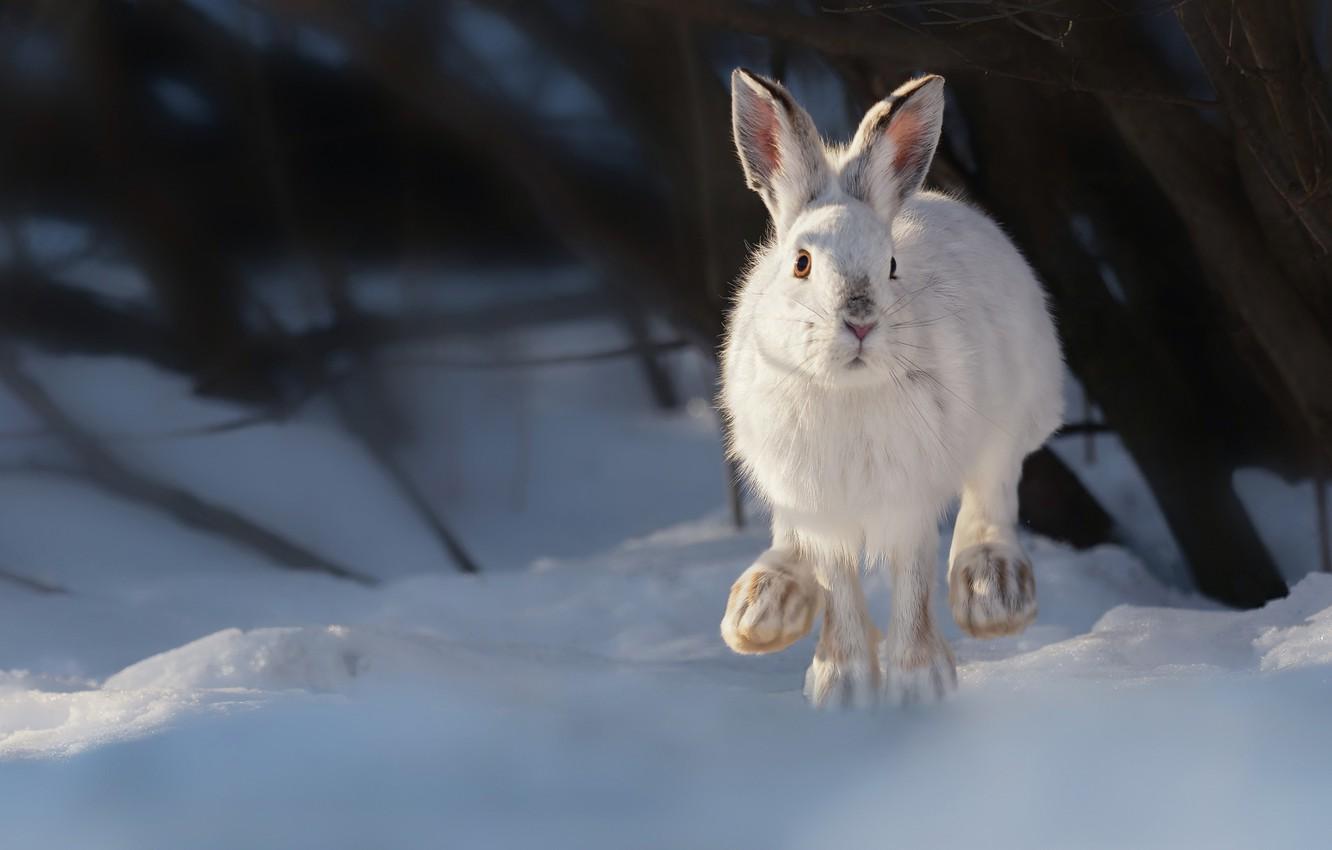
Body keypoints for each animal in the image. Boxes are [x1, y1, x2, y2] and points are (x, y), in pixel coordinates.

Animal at [718, 69, 1064, 708]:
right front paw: (844, 690)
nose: (860, 322)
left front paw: (917, 688)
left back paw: (992, 591)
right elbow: (839, 587)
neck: (846, 389)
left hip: (1017, 410)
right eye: (801, 263)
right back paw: (763, 607)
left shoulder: (909, 500)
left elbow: (911, 585)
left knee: (993, 491)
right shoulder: (819, 506)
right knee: (788, 539)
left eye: (893, 266)